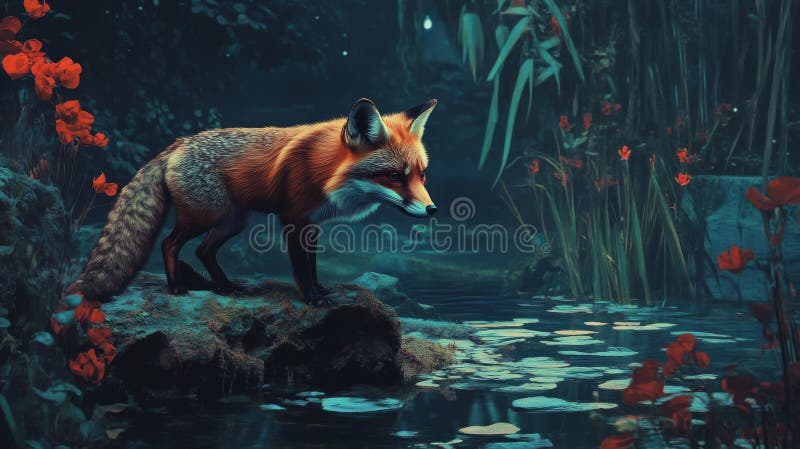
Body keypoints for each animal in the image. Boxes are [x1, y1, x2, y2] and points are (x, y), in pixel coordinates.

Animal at [66, 98, 438, 306]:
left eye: (422, 174)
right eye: (394, 176)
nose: (432, 210)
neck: (324, 169)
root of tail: (177, 144)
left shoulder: (312, 224)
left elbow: (313, 264)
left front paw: (321, 290)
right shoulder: (293, 218)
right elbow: (301, 267)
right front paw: (313, 299)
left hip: (233, 221)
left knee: (203, 251)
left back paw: (225, 286)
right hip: (206, 216)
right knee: (170, 244)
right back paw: (176, 288)